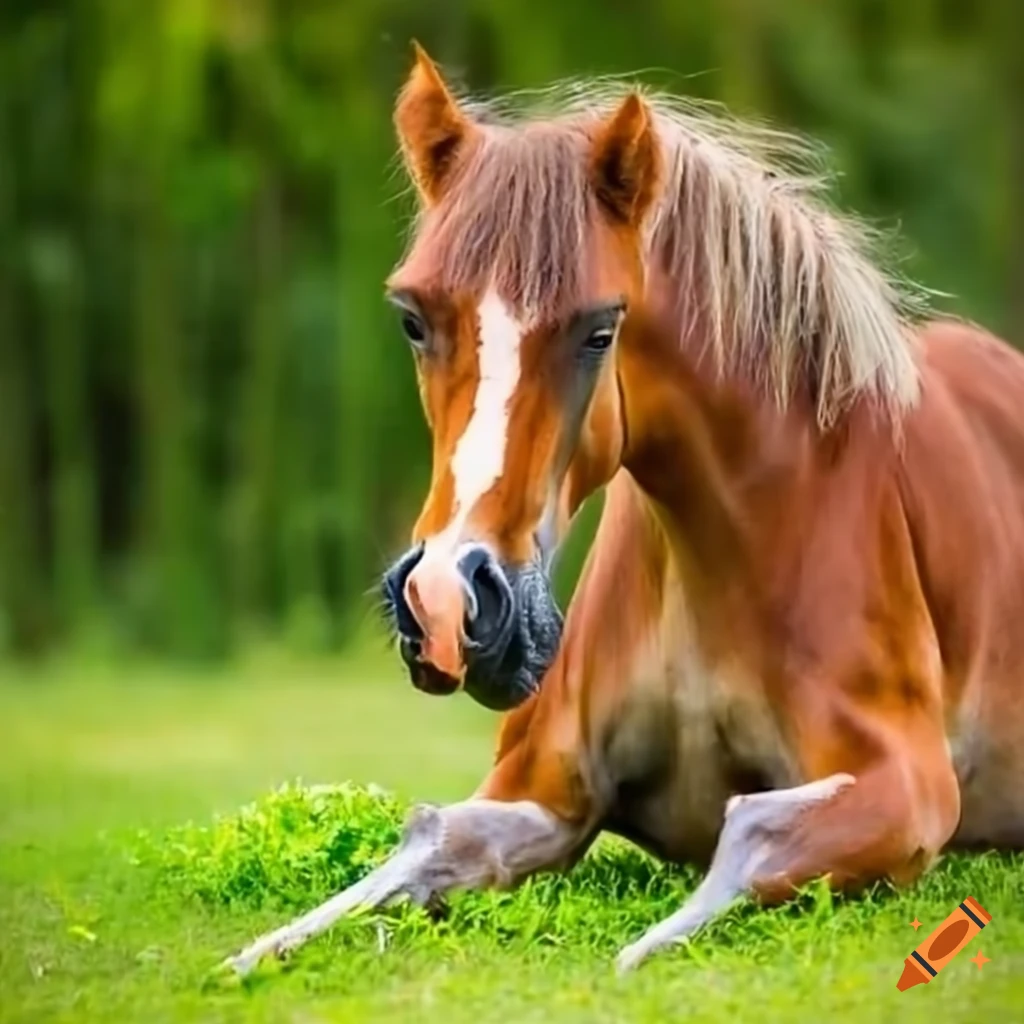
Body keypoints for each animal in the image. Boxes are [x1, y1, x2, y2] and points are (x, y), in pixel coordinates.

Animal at [224, 44, 1024, 976]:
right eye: (413, 320)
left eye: (599, 330)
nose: (449, 603)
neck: (729, 532)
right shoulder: (541, 790)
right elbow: (421, 844)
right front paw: (252, 954)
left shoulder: (908, 787)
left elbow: (746, 836)